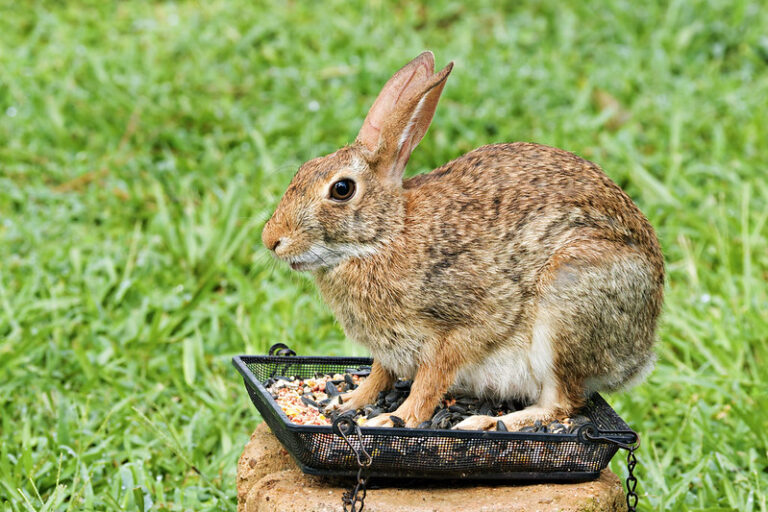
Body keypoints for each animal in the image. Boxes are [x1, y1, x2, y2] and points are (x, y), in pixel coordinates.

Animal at [261, 51, 664, 431]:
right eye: (303, 170)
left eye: (342, 189)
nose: (272, 240)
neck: (387, 235)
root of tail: (640, 355)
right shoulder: (388, 351)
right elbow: (379, 375)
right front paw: (345, 401)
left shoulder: (462, 328)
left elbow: (430, 380)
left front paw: (392, 419)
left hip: (569, 301)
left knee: (561, 403)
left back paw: (483, 422)